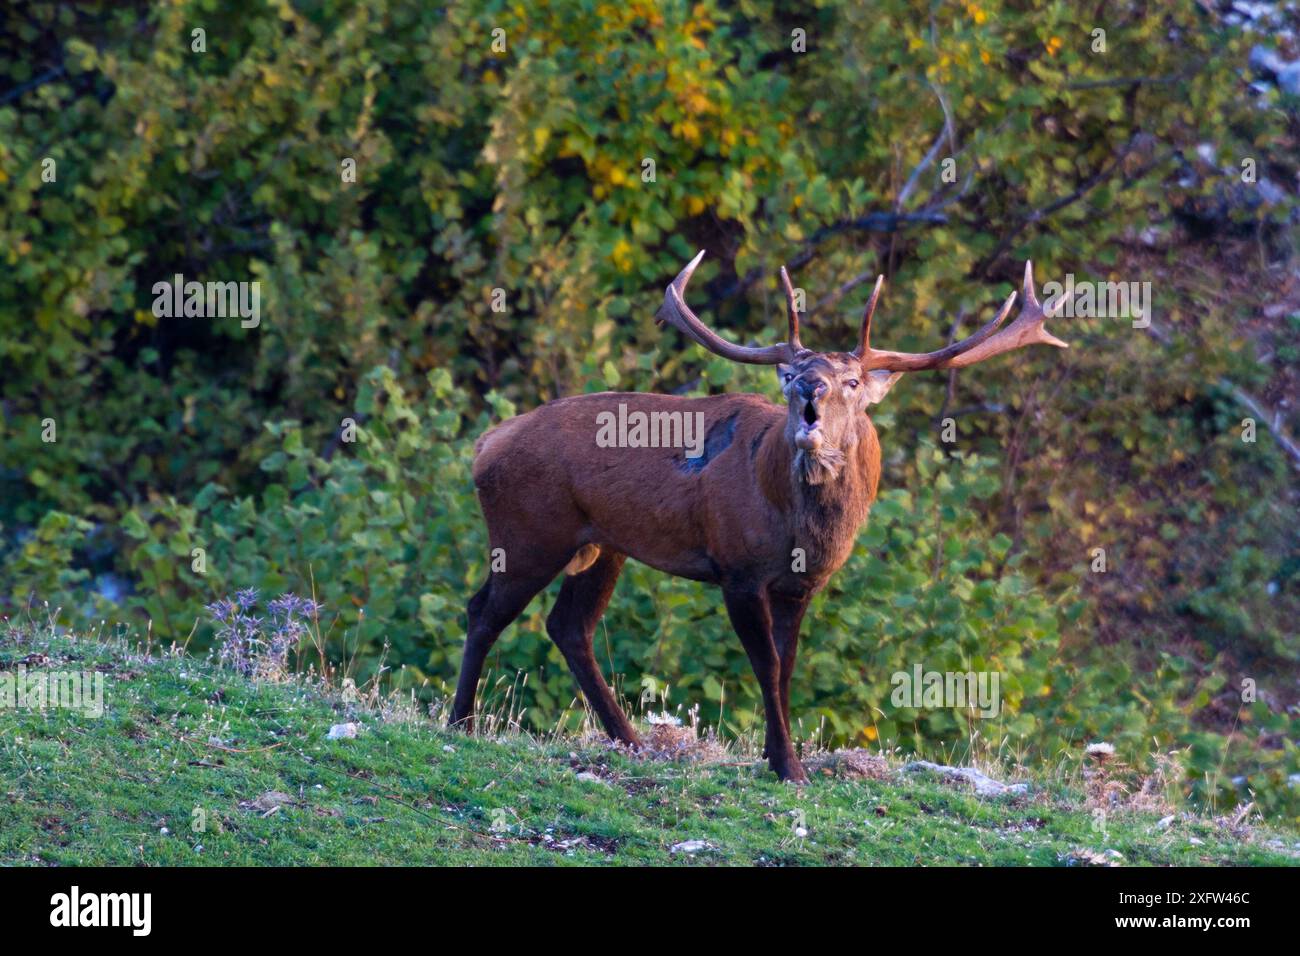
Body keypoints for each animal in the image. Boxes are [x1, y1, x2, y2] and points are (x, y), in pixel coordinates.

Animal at [450, 251, 1067, 782]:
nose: (811, 389)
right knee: (483, 610)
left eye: (852, 381)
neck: (799, 531)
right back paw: (461, 722)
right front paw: (789, 766)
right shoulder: (738, 570)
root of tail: (485, 445)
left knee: (568, 626)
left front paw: (778, 757)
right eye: (791, 376)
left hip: (601, 544)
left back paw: (629, 739)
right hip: (528, 530)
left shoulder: (801, 584)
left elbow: (787, 666)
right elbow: (766, 664)